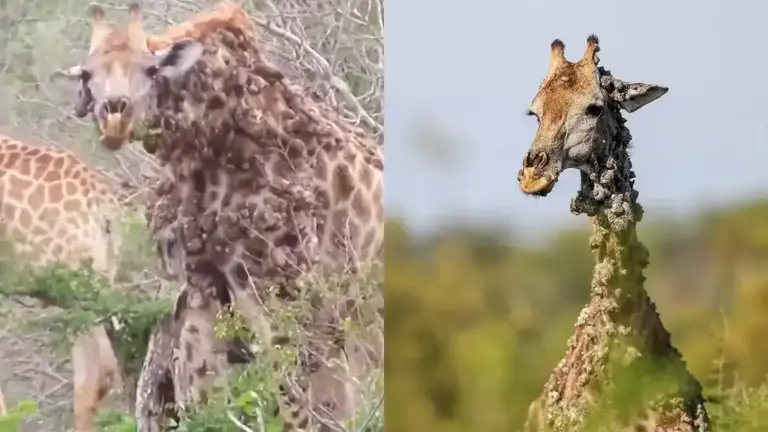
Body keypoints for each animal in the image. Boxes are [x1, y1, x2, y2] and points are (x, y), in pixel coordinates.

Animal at [55, 3, 384, 430]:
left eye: (151, 70)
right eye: (88, 75)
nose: (114, 116)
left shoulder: (280, 287)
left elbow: (300, 400)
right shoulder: (204, 283)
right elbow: (202, 389)